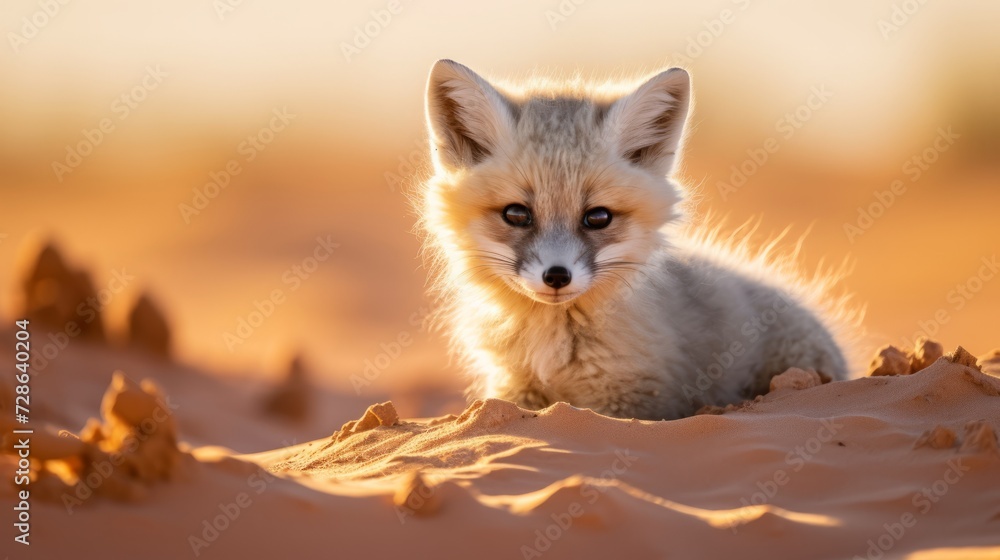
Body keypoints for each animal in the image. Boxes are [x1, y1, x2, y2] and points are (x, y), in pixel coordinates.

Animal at [416, 59, 853, 420]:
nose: (556, 277)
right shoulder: (513, 387)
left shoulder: (631, 399)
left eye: (598, 217)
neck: (554, 345)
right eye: (516, 214)